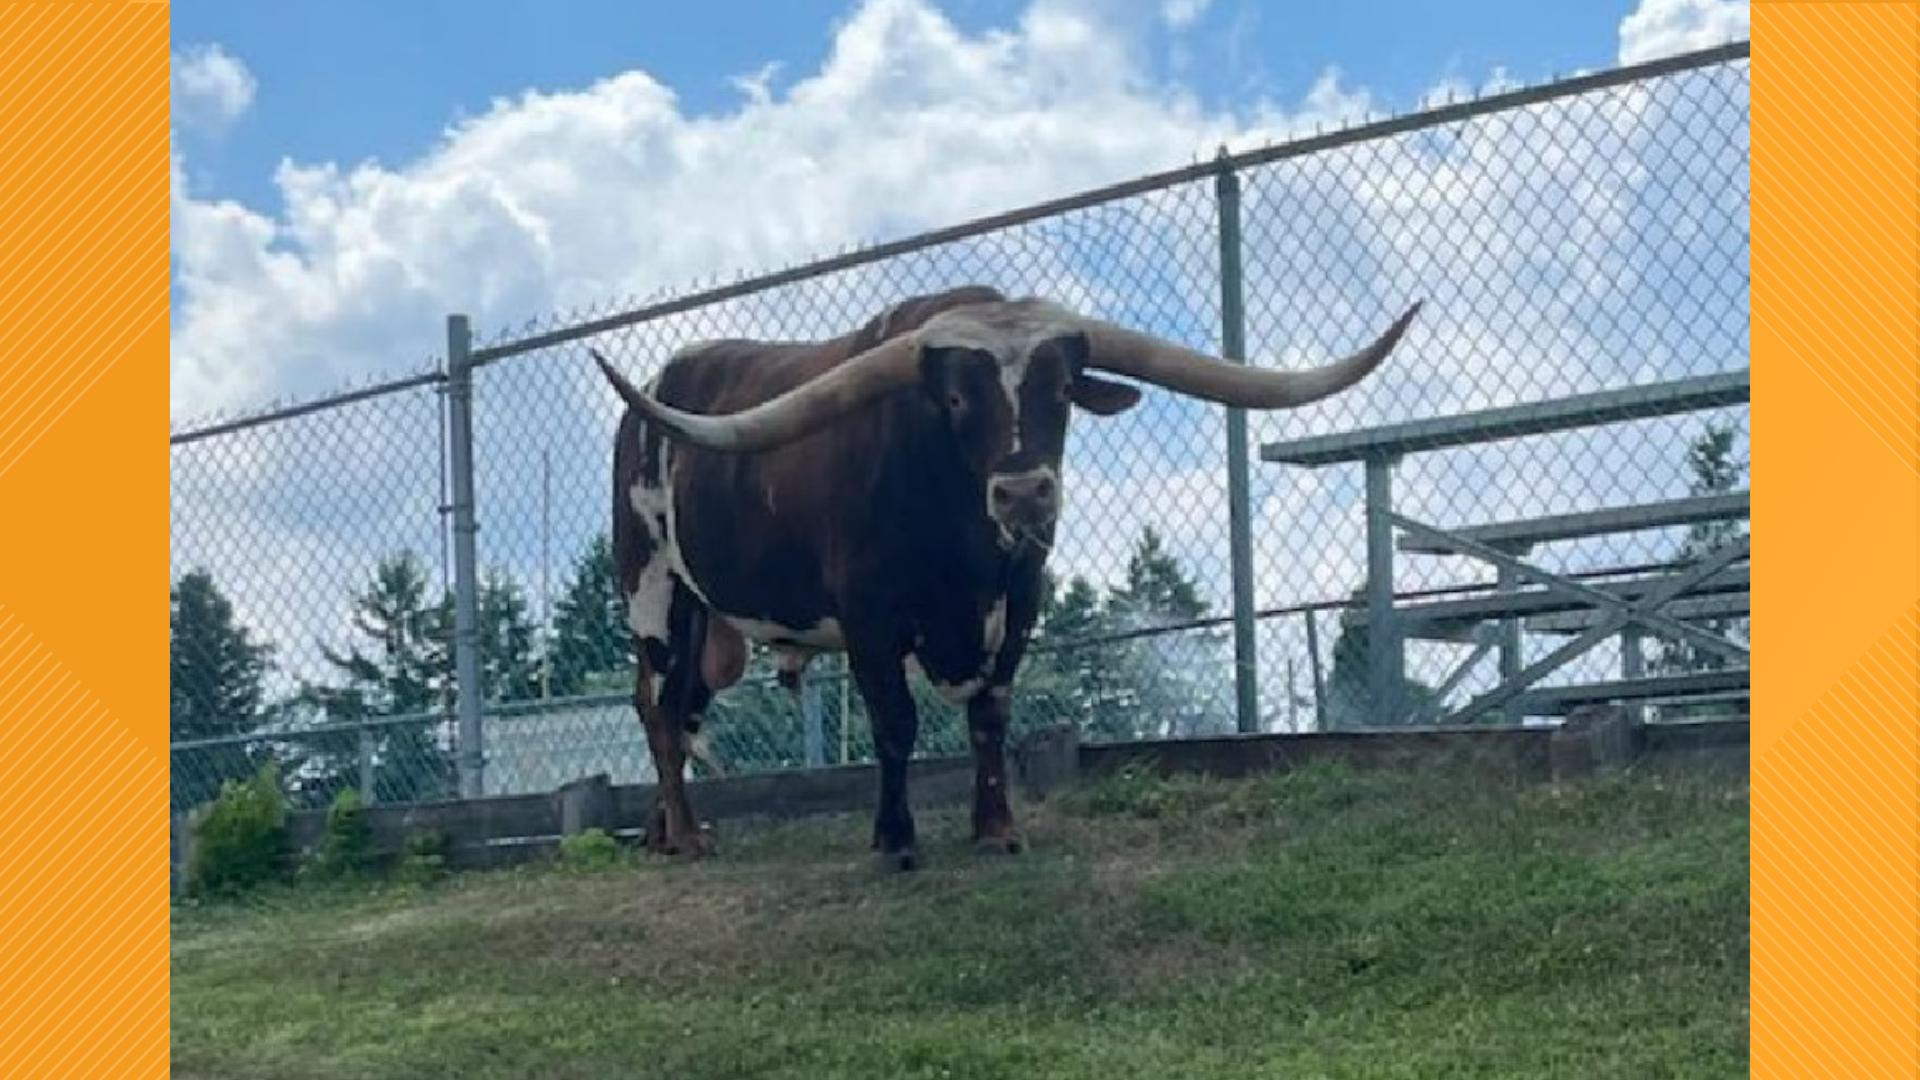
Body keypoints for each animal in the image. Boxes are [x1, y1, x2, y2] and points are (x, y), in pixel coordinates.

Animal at [592, 285, 1418, 870]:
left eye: (1063, 391)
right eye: (957, 395)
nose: (1025, 494)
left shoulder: (1020, 603)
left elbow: (991, 716)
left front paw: (996, 828)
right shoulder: (869, 616)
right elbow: (896, 724)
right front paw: (895, 838)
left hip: (707, 623)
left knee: (682, 709)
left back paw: (662, 834)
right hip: (654, 591)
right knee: (660, 711)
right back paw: (687, 838)